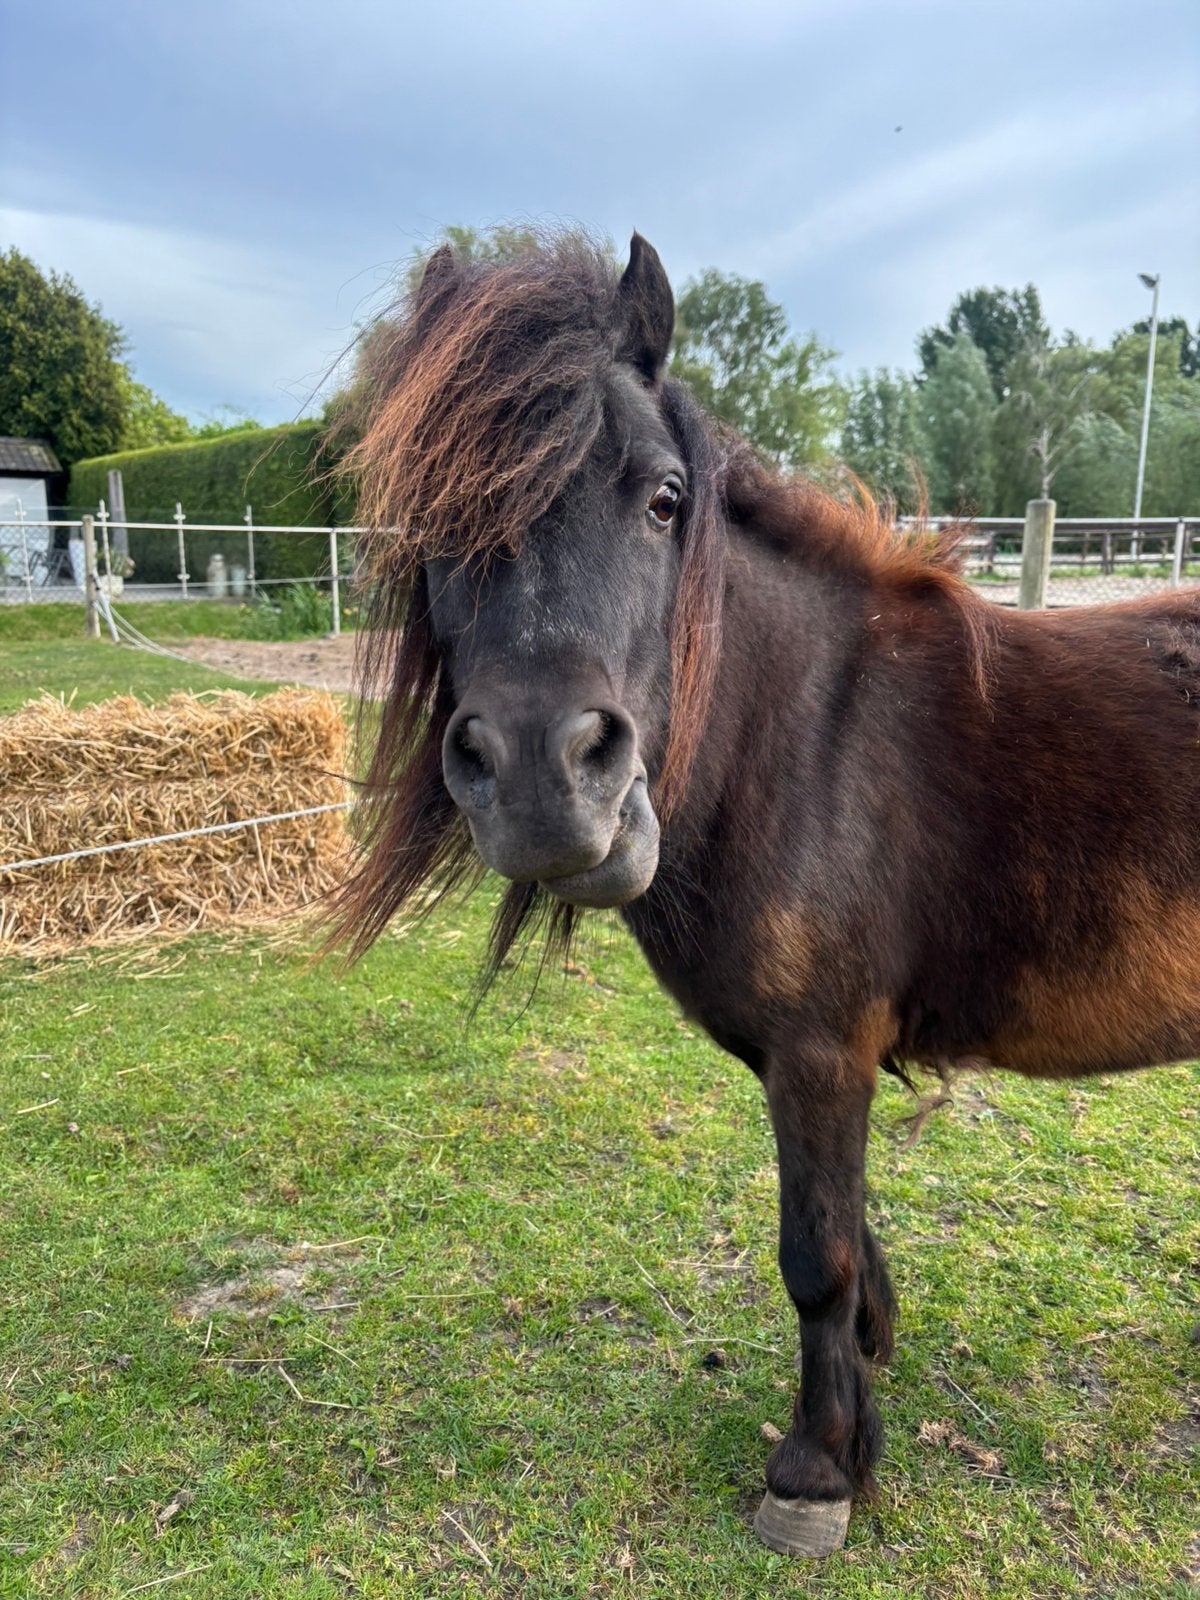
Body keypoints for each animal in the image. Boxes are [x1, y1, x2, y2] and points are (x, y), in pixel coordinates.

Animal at [328, 232, 1200, 1557]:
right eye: (439, 514)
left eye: (662, 497)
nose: (544, 783)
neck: (807, 737)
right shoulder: (803, 1057)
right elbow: (853, 1236)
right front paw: (868, 1386)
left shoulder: (823, 1052)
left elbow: (814, 1254)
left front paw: (818, 1468)